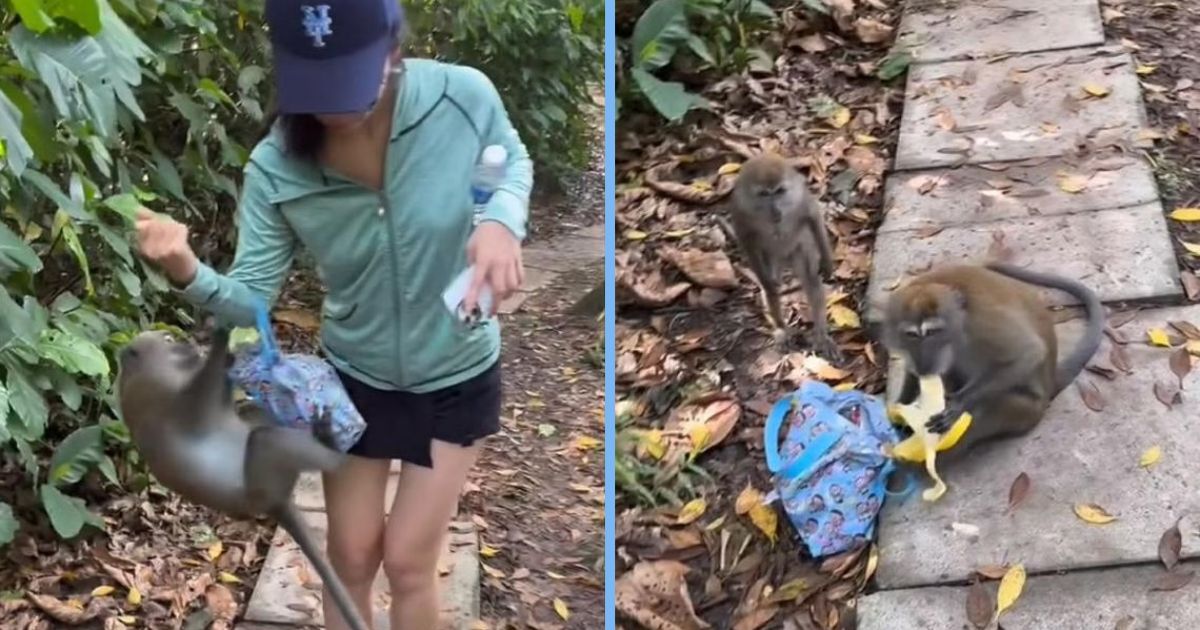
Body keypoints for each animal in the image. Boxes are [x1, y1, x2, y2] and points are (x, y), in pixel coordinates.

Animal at [116, 327, 369, 630]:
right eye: (168, 341)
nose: (187, 345)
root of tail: (275, 503)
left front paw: (231, 353)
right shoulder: (160, 395)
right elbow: (200, 404)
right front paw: (221, 337)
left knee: (254, 418)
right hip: (266, 483)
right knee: (265, 440)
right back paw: (332, 449)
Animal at [729, 153, 841, 360]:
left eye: (779, 191)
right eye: (764, 194)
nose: (775, 209)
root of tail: (786, 258)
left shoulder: (799, 198)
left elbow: (813, 217)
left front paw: (827, 262)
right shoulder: (741, 210)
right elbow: (746, 240)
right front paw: (767, 282)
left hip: (801, 248)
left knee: (811, 280)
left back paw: (821, 334)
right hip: (772, 256)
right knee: (771, 289)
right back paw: (780, 327)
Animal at [880, 261, 1104, 462]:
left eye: (933, 332)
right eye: (912, 335)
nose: (925, 361)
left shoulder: (980, 322)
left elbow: (1029, 352)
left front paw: (958, 404)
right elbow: (913, 371)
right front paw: (898, 413)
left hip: (1028, 411)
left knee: (988, 406)